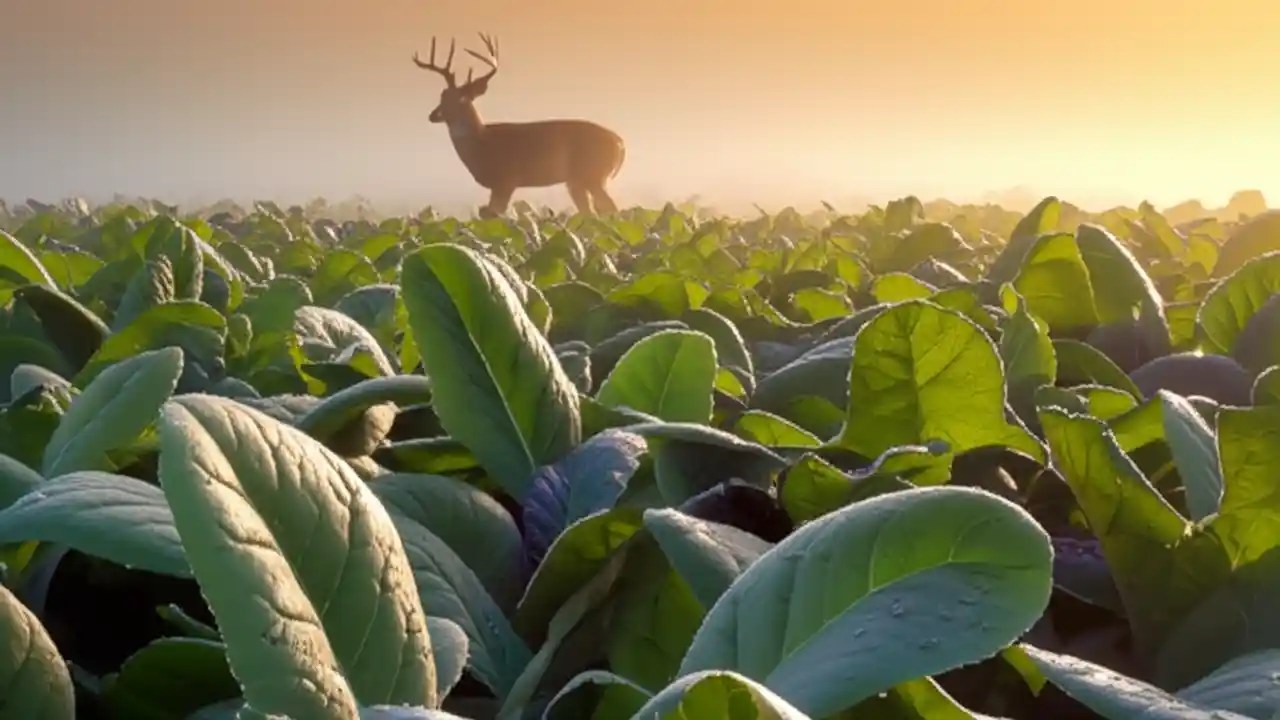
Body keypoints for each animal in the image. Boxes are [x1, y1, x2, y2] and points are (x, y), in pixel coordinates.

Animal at [412, 33, 626, 218]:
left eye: (462, 99)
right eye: (442, 95)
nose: (434, 115)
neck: (482, 143)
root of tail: (619, 141)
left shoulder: (506, 180)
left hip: (593, 174)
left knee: (611, 209)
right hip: (577, 181)